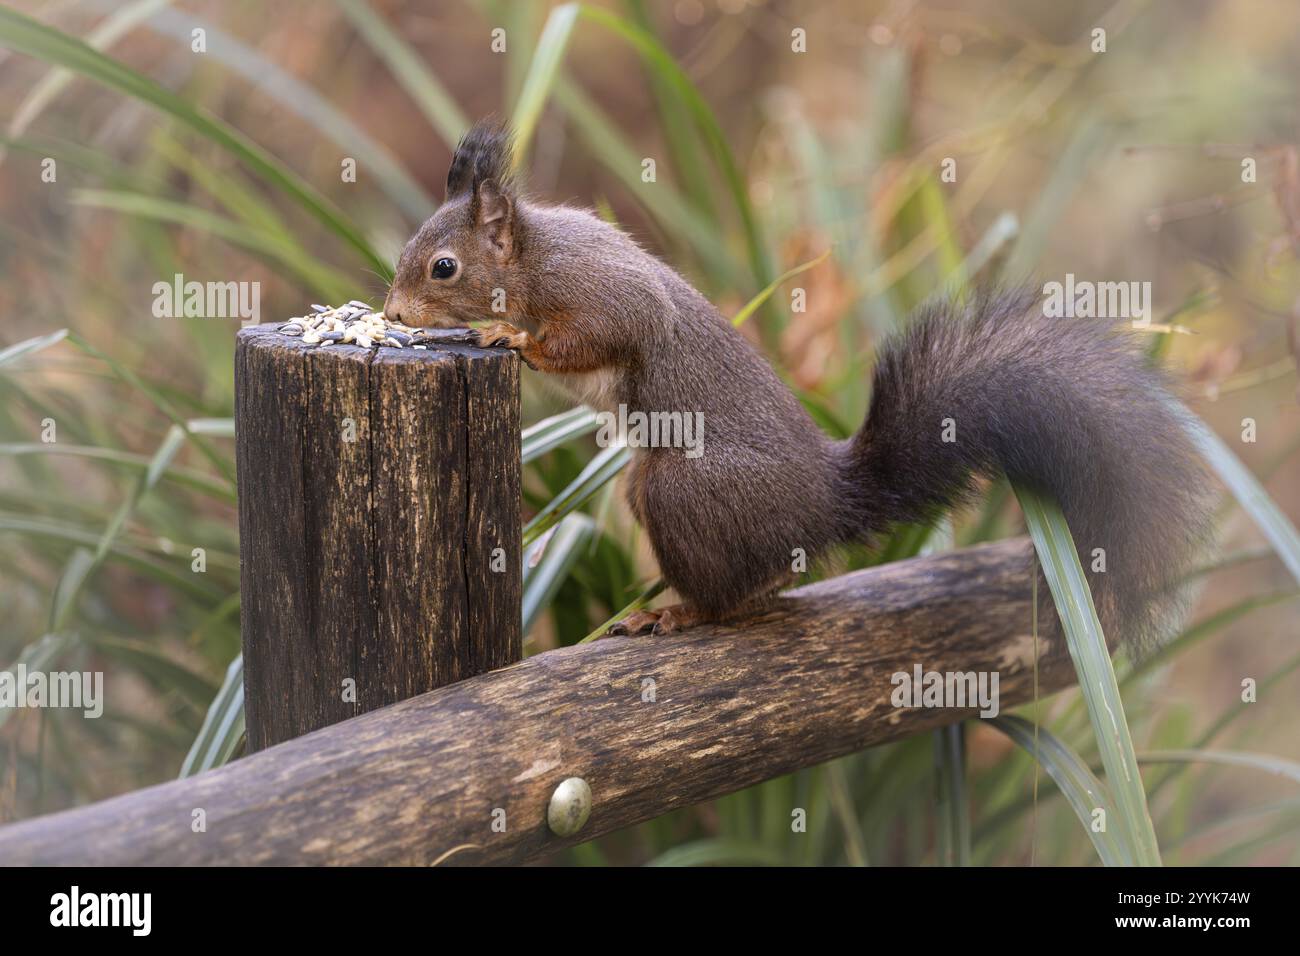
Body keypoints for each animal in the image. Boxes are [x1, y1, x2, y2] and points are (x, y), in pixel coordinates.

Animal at [384, 119, 1214, 646]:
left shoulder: (600, 294)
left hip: (681, 489)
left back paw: (677, 614)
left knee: (732, 594)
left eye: (443, 267)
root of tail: (825, 501)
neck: (529, 259)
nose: (392, 312)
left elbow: (595, 335)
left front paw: (507, 335)